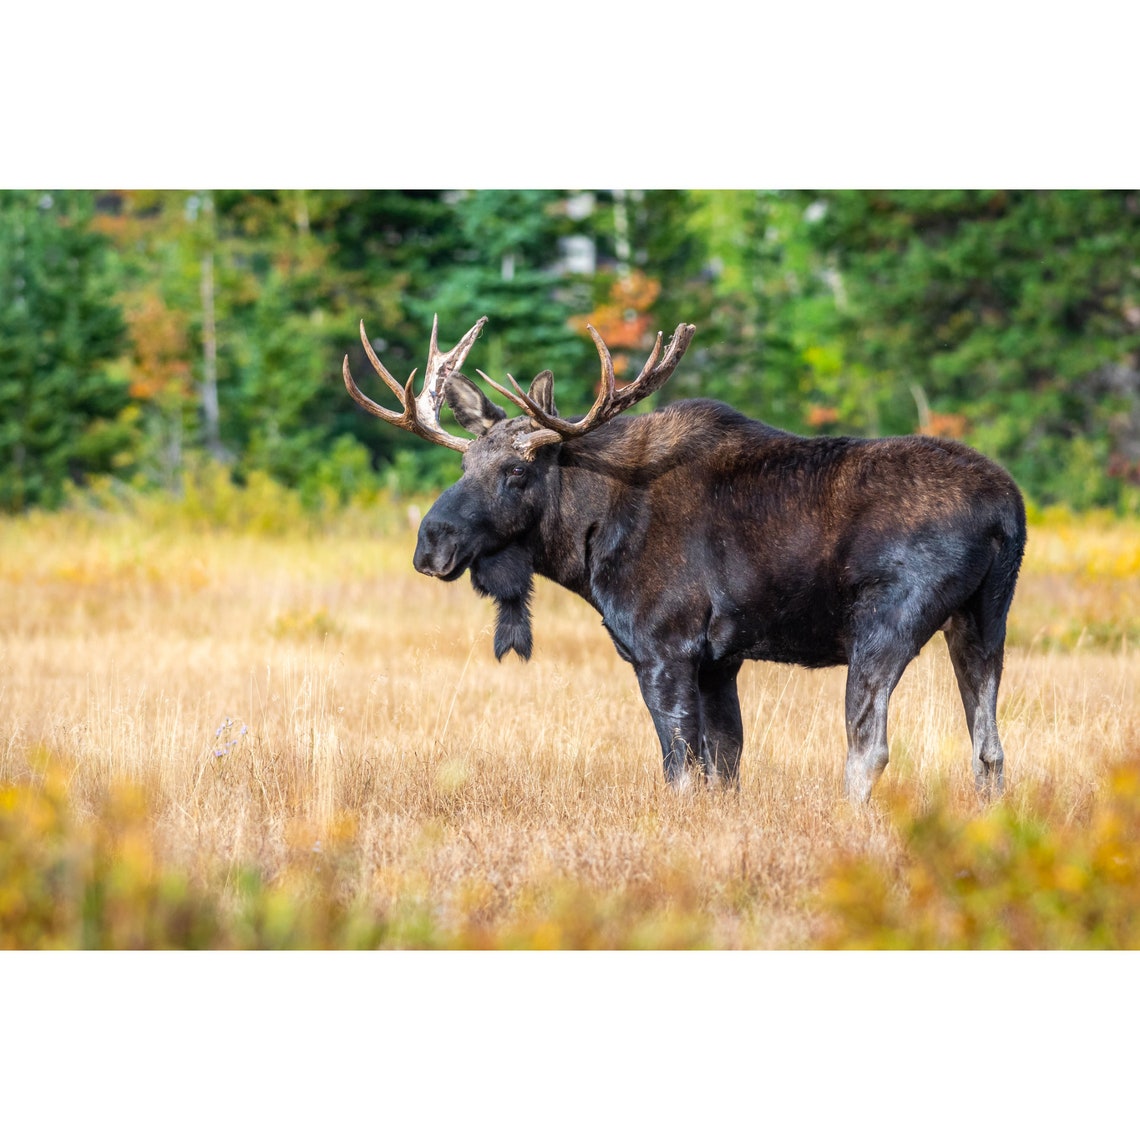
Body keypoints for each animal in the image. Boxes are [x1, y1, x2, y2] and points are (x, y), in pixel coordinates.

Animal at [342, 316, 1026, 802]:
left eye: (515, 472)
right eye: (464, 466)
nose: (431, 544)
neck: (584, 541)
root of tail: (1008, 512)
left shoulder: (664, 648)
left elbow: (681, 769)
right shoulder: (720, 661)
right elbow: (725, 766)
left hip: (887, 624)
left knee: (869, 748)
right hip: (983, 620)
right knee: (989, 749)